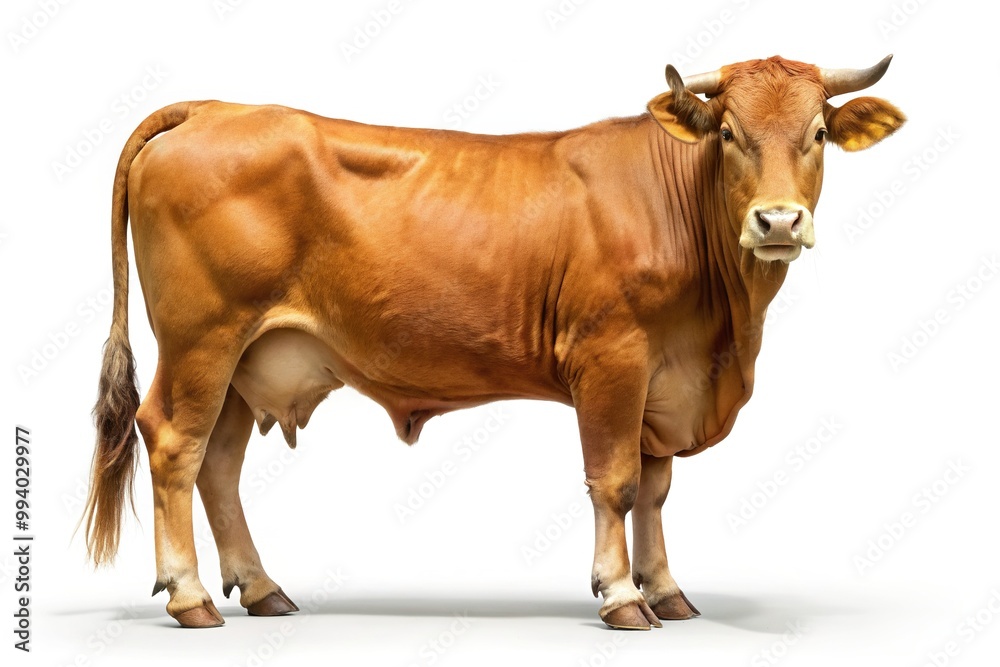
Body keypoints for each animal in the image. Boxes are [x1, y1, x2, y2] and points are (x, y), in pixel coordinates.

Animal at [83, 55, 904, 630]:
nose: (778, 221)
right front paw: (620, 596)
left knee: (217, 463)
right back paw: (190, 597)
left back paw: (262, 589)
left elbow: (657, 490)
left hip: (245, 356)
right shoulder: (612, 358)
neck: (722, 334)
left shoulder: (665, 380)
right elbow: (617, 482)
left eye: (819, 134)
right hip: (202, 339)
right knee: (174, 443)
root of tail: (212, 108)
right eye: (730, 134)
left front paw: (666, 589)